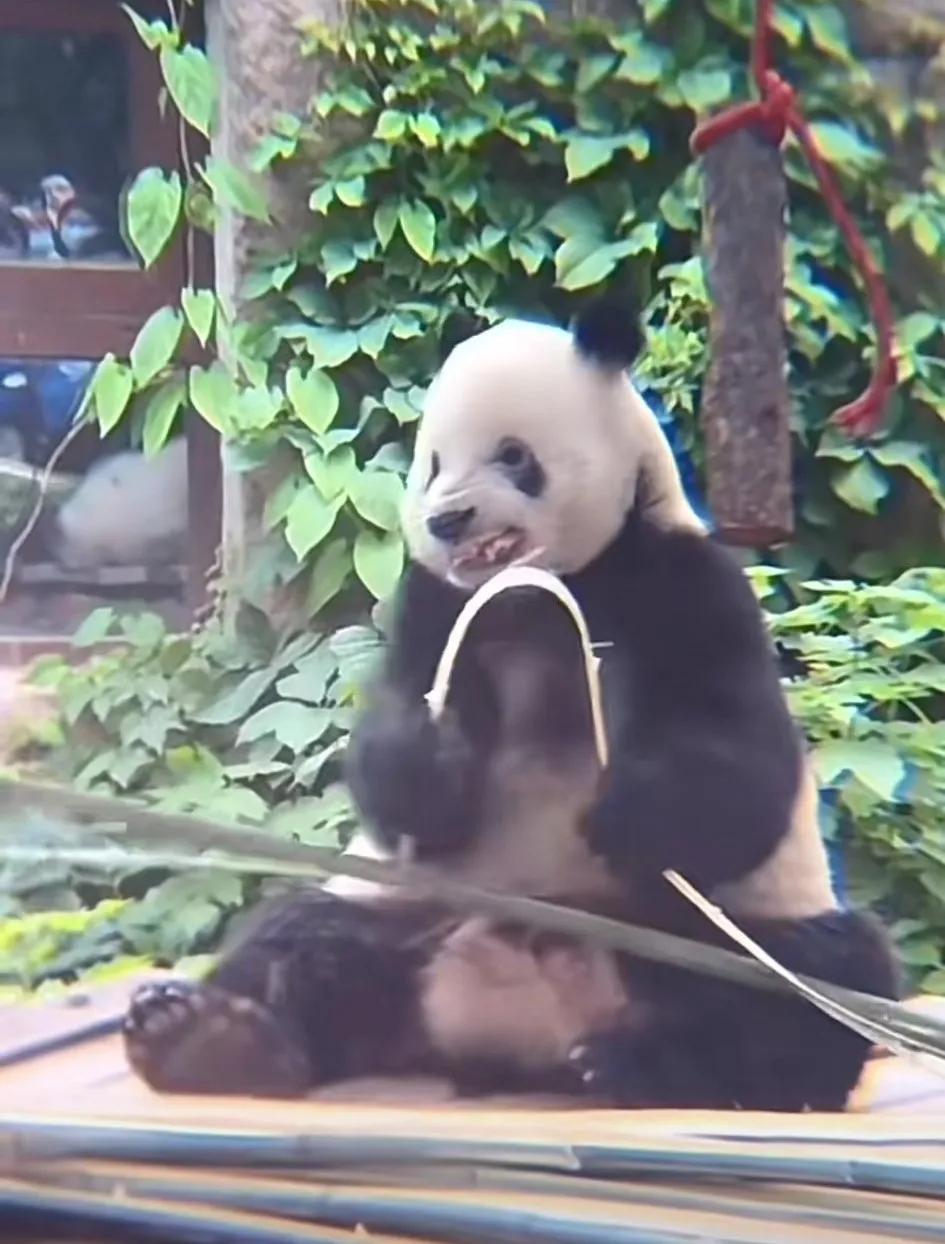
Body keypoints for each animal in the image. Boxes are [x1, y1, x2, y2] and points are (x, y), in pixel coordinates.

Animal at [122, 298, 900, 1110]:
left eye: (513, 456)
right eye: (433, 465)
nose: (447, 520)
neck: (540, 591)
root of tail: (514, 1030)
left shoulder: (685, 580)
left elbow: (741, 764)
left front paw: (623, 813)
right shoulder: (432, 604)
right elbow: (396, 756)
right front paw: (432, 758)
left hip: (707, 937)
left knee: (818, 985)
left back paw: (650, 1065)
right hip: (407, 910)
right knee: (300, 933)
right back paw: (208, 1040)